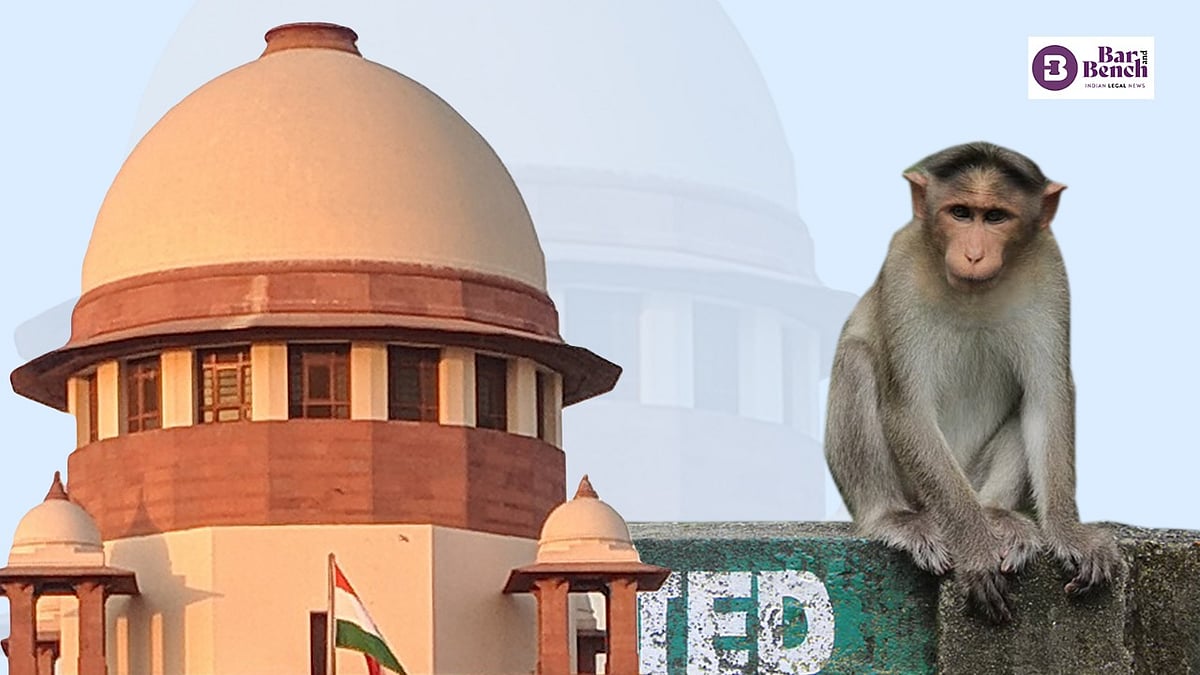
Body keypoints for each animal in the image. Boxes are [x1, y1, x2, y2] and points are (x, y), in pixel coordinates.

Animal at [824, 142, 1121, 623]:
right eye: (960, 213)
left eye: (995, 216)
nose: (974, 254)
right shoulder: (902, 264)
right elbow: (908, 410)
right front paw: (977, 550)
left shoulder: (1049, 269)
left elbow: (1047, 398)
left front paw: (1069, 534)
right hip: (919, 490)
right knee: (857, 362)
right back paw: (896, 517)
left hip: (975, 476)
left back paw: (998, 516)